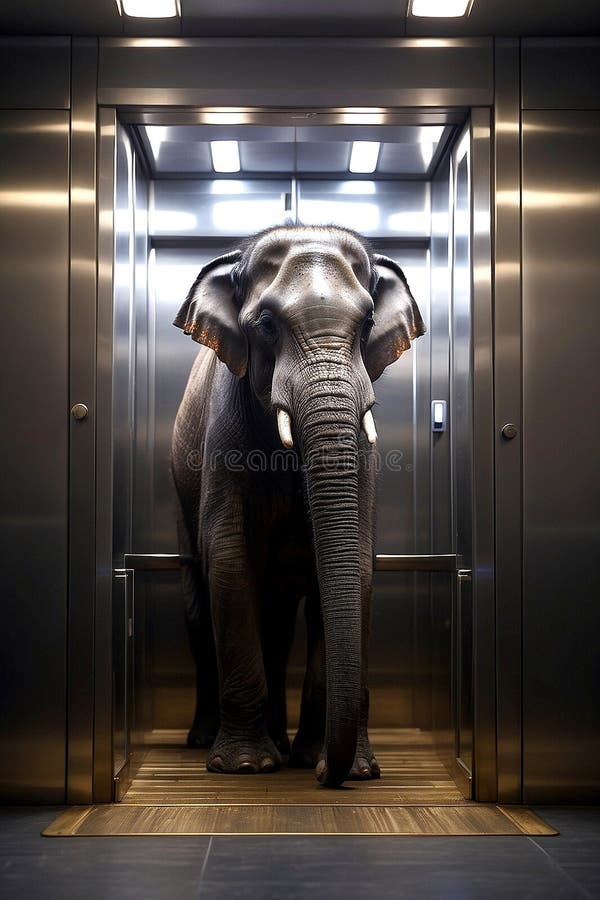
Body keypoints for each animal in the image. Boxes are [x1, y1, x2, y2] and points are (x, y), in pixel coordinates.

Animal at [171, 224, 425, 787]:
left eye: (368, 323)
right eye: (266, 324)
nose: (328, 779)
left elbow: (358, 563)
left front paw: (342, 766)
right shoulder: (225, 426)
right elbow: (228, 557)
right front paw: (244, 767)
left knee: (280, 621)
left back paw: (285, 749)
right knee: (200, 606)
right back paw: (209, 742)